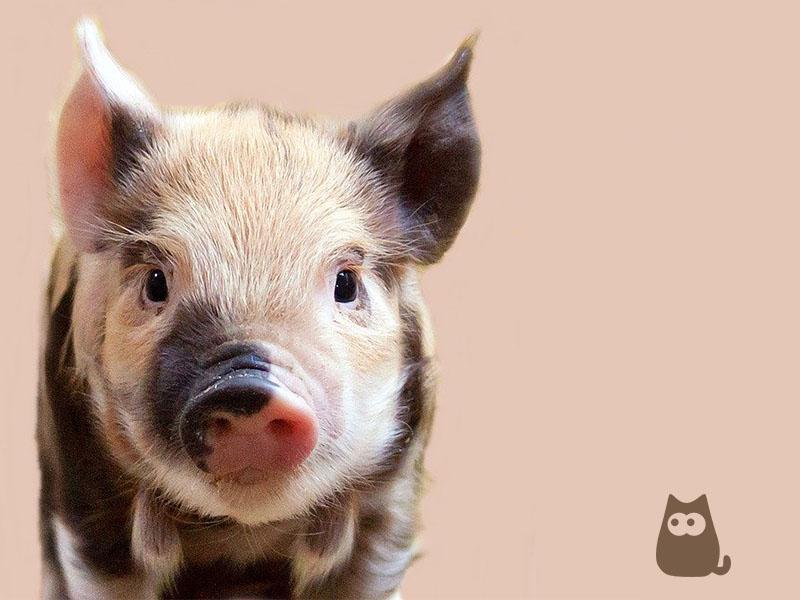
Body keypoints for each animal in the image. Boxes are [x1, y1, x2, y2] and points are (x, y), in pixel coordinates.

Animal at [38, 18, 480, 599]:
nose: (247, 385)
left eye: (345, 284)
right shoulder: (84, 508)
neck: (242, 545)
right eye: (156, 283)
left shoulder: (390, 512)